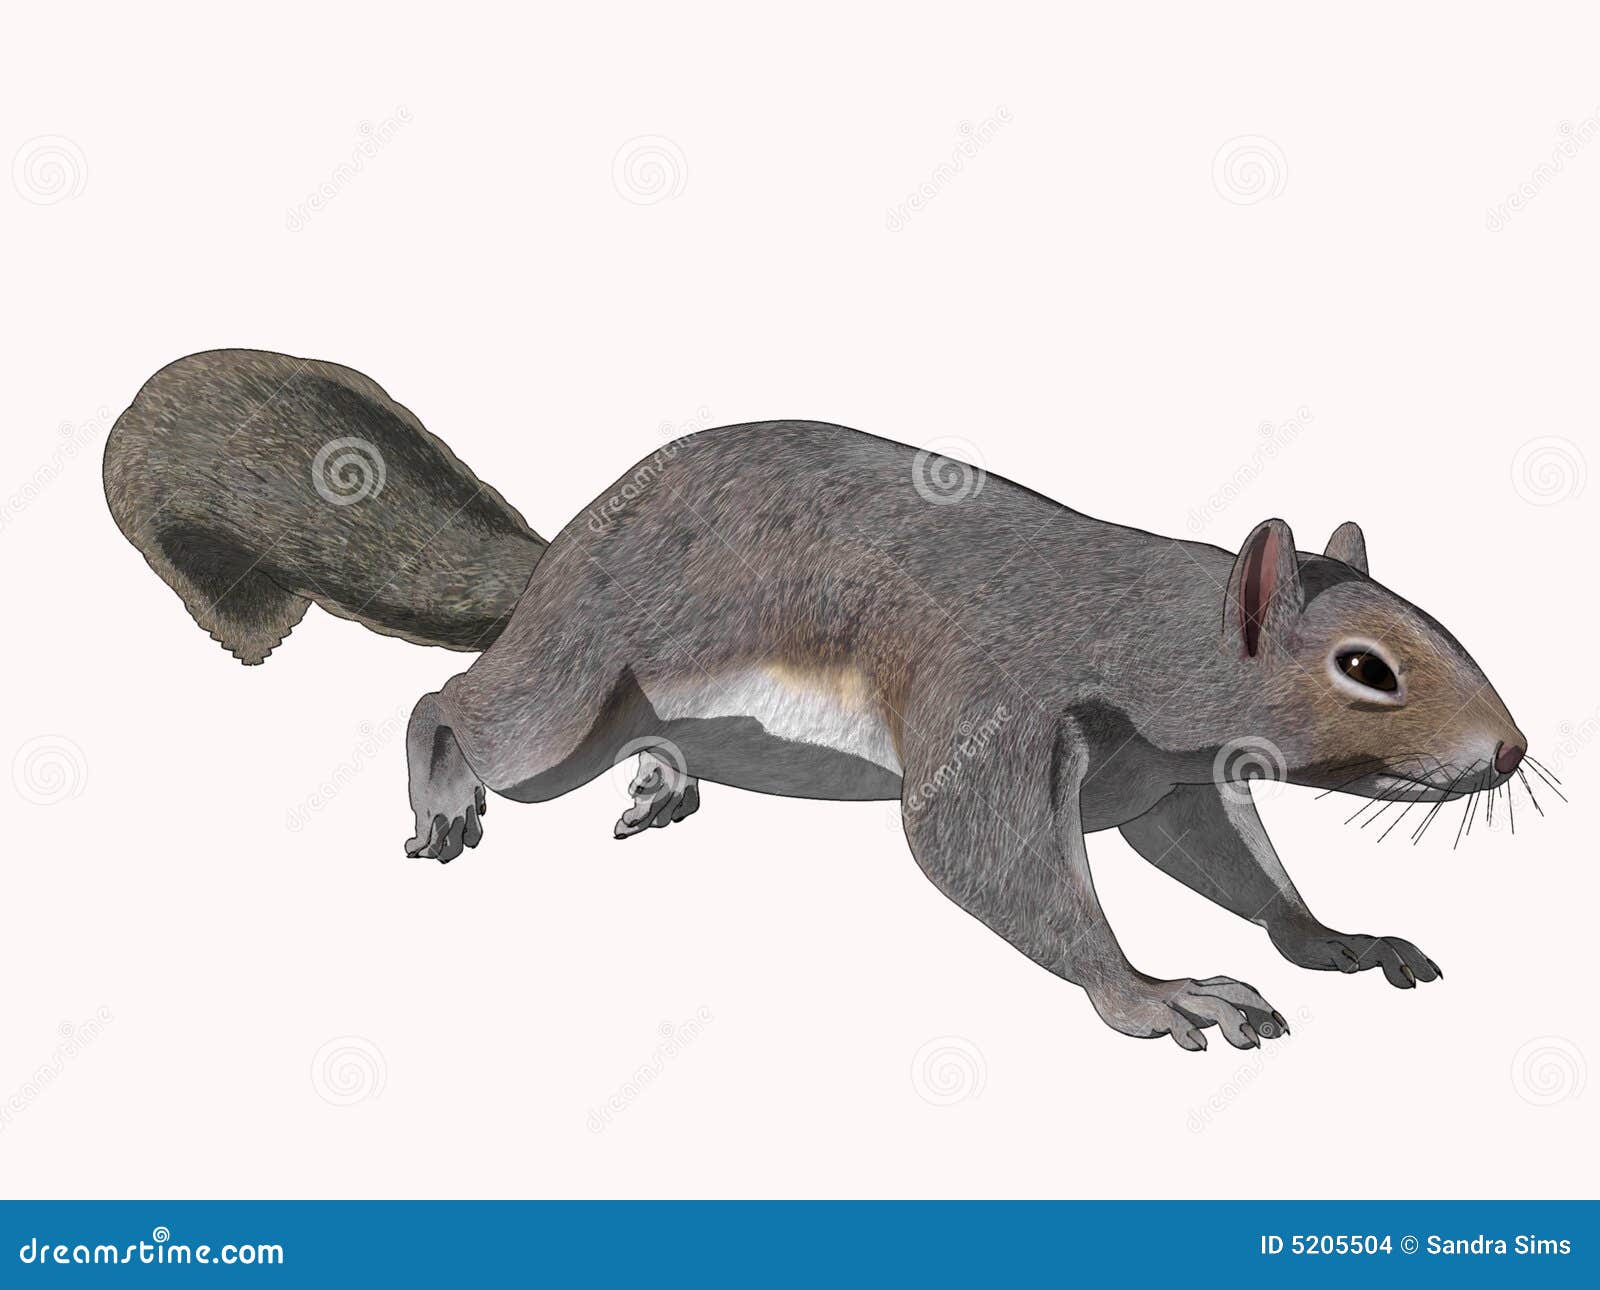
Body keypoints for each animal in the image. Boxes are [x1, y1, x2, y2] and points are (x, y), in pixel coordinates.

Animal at [105, 350, 1531, 1049]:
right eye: (1365, 668)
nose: (1512, 749)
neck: (1136, 631)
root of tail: (559, 563)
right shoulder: (999, 700)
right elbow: (979, 857)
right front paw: (1158, 995)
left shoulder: (1168, 785)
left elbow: (1239, 874)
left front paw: (1341, 942)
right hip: (569, 698)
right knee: (453, 704)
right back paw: (447, 795)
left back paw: (664, 781)